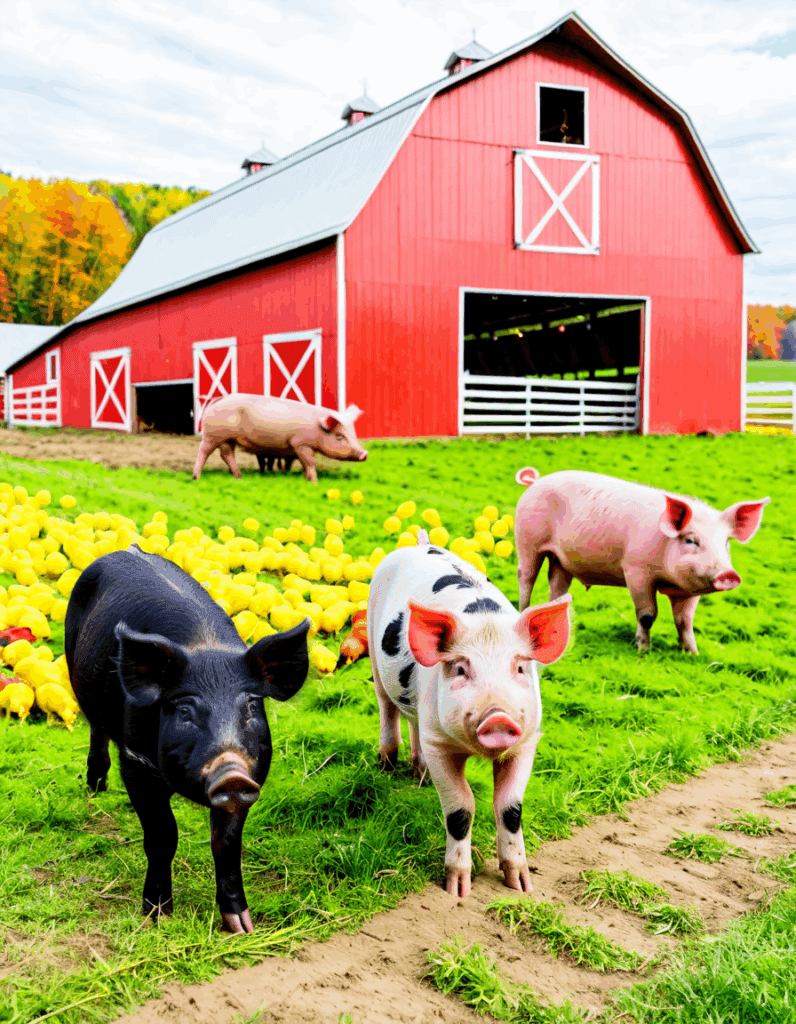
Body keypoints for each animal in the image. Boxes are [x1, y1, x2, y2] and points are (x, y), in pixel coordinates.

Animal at [65, 545, 310, 933]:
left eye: (251, 707)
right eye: (184, 711)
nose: (231, 771)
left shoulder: (250, 784)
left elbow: (227, 844)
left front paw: (241, 927)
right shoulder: (136, 763)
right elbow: (163, 835)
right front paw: (157, 915)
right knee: (96, 727)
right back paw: (96, 787)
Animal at [193, 394, 368, 484]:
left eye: (353, 433)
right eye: (339, 436)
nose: (365, 454)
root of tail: (217, 400)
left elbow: (303, 464)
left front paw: (306, 479)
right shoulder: (300, 443)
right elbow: (310, 462)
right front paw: (314, 482)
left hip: (227, 439)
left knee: (226, 455)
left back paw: (238, 476)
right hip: (212, 436)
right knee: (203, 451)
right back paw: (196, 478)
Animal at [368, 533, 571, 898]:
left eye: (520, 668)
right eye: (462, 669)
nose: (498, 717)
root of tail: (420, 542)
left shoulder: (527, 743)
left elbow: (510, 808)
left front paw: (520, 884)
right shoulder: (440, 744)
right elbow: (461, 810)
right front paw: (457, 889)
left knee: (412, 719)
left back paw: (419, 774)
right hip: (374, 651)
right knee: (387, 708)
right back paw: (387, 766)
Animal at [514, 467, 770, 655]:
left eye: (726, 544)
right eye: (691, 540)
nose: (729, 575)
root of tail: (536, 481)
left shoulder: (688, 591)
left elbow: (685, 622)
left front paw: (692, 653)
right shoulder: (636, 570)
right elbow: (647, 615)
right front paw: (643, 650)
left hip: (561, 561)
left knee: (556, 586)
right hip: (527, 541)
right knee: (526, 577)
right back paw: (523, 611)